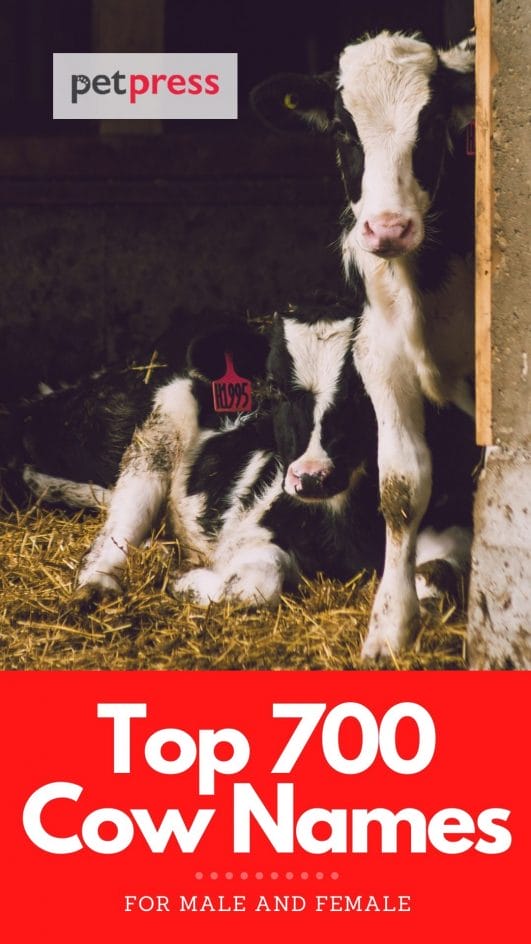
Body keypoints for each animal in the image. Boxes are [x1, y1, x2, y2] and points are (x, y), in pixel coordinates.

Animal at [250, 31, 476, 656]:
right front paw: (389, 627)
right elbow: (401, 489)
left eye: (434, 122)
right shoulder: (382, 357)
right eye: (343, 130)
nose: (389, 228)